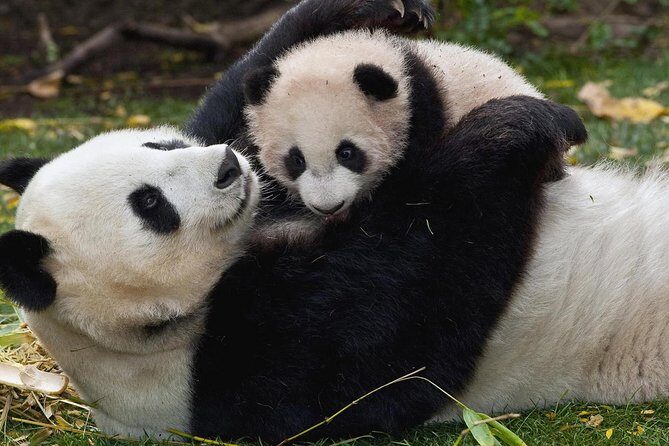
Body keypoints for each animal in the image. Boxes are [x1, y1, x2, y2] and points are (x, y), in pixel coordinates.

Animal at [0, 95, 581, 442]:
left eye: (160, 143)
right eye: (150, 205)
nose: (228, 166)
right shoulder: (239, 371)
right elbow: (411, 311)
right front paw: (514, 126)